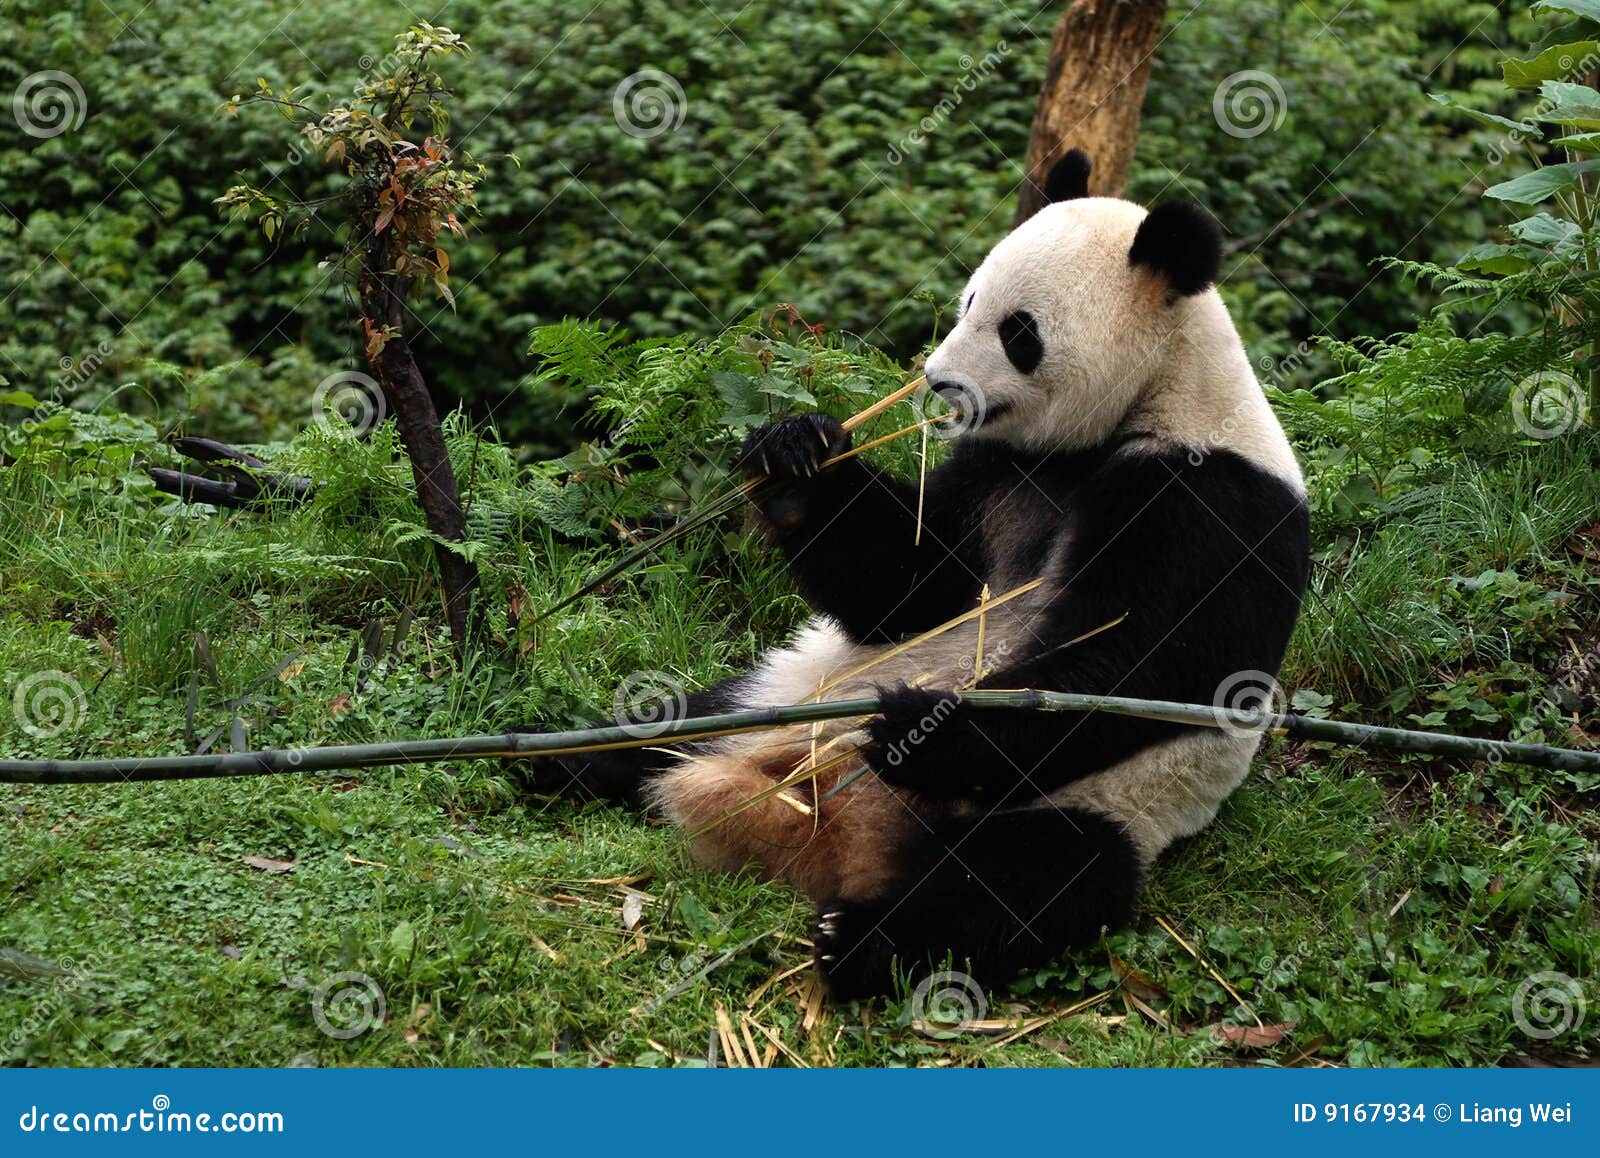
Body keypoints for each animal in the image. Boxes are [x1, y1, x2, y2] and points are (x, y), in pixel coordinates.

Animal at [526, 151, 1310, 1000]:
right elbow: (909, 588)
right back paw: (561, 759)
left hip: (1085, 805)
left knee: (1026, 882)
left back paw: (858, 937)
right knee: (676, 724)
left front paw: (918, 725)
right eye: (968, 299)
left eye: (1019, 331)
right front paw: (797, 458)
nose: (938, 383)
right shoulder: (999, 467)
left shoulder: (1209, 502)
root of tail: (835, 836)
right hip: (787, 691)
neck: (1154, 394)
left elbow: (1132, 671)